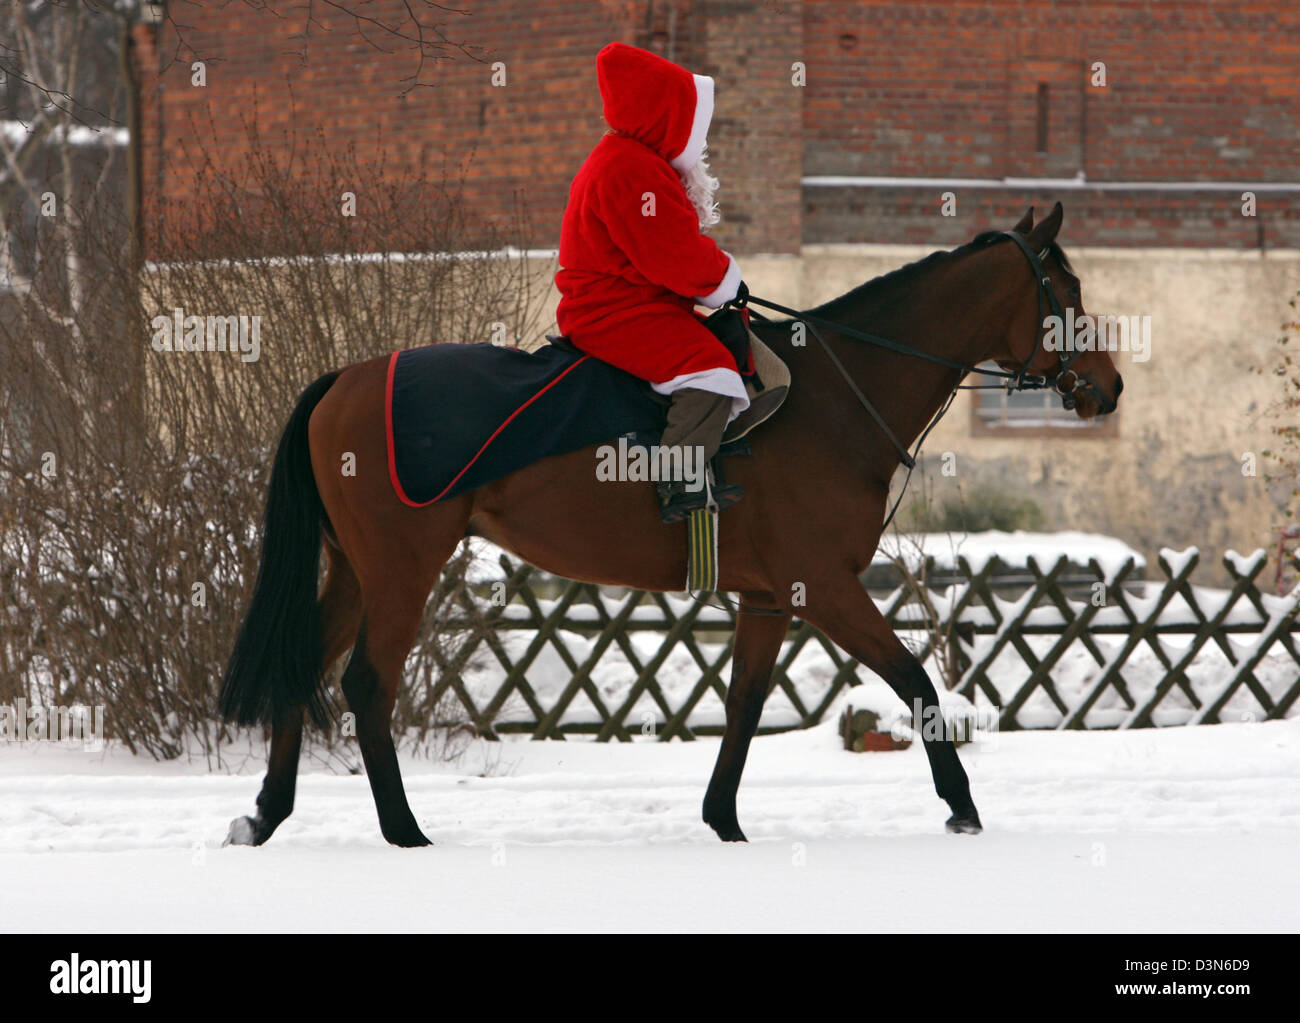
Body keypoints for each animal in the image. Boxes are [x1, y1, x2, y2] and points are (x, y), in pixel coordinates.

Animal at [219, 202, 1122, 847]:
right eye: (1069, 294)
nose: (1109, 386)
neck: (838, 393)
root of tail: (342, 379)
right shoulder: (826, 586)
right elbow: (917, 681)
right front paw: (961, 804)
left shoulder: (770, 596)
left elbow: (746, 701)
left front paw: (723, 817)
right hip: (403, 569)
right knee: (368, 683)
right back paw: (404, 830)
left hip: (357, 569)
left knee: (304, 664)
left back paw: (266, 813)